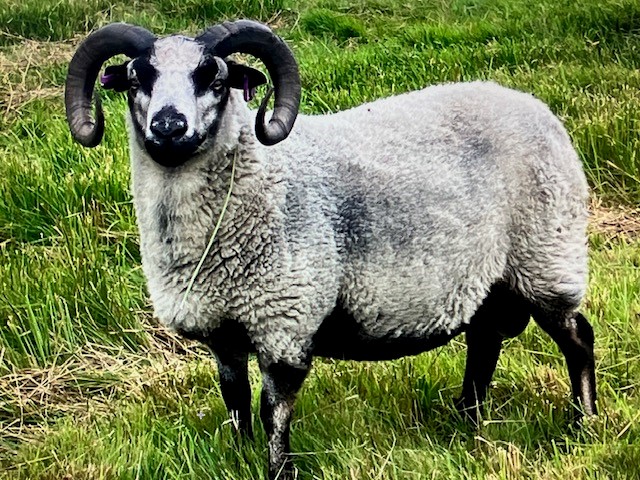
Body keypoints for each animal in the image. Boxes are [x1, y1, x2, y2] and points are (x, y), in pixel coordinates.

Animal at [65, 20, 597, 480]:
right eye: (137, 78)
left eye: (213, 78)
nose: (169, 126)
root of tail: (537, 108)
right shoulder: (223, 333)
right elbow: (235, 404)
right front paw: (238, 459)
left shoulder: (285, 321)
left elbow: (272, 413)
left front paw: (278, 472)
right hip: (490, 276)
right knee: (484, 341)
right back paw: (467, 422)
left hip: (546, 256)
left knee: (578, 338)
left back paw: (582, 426)